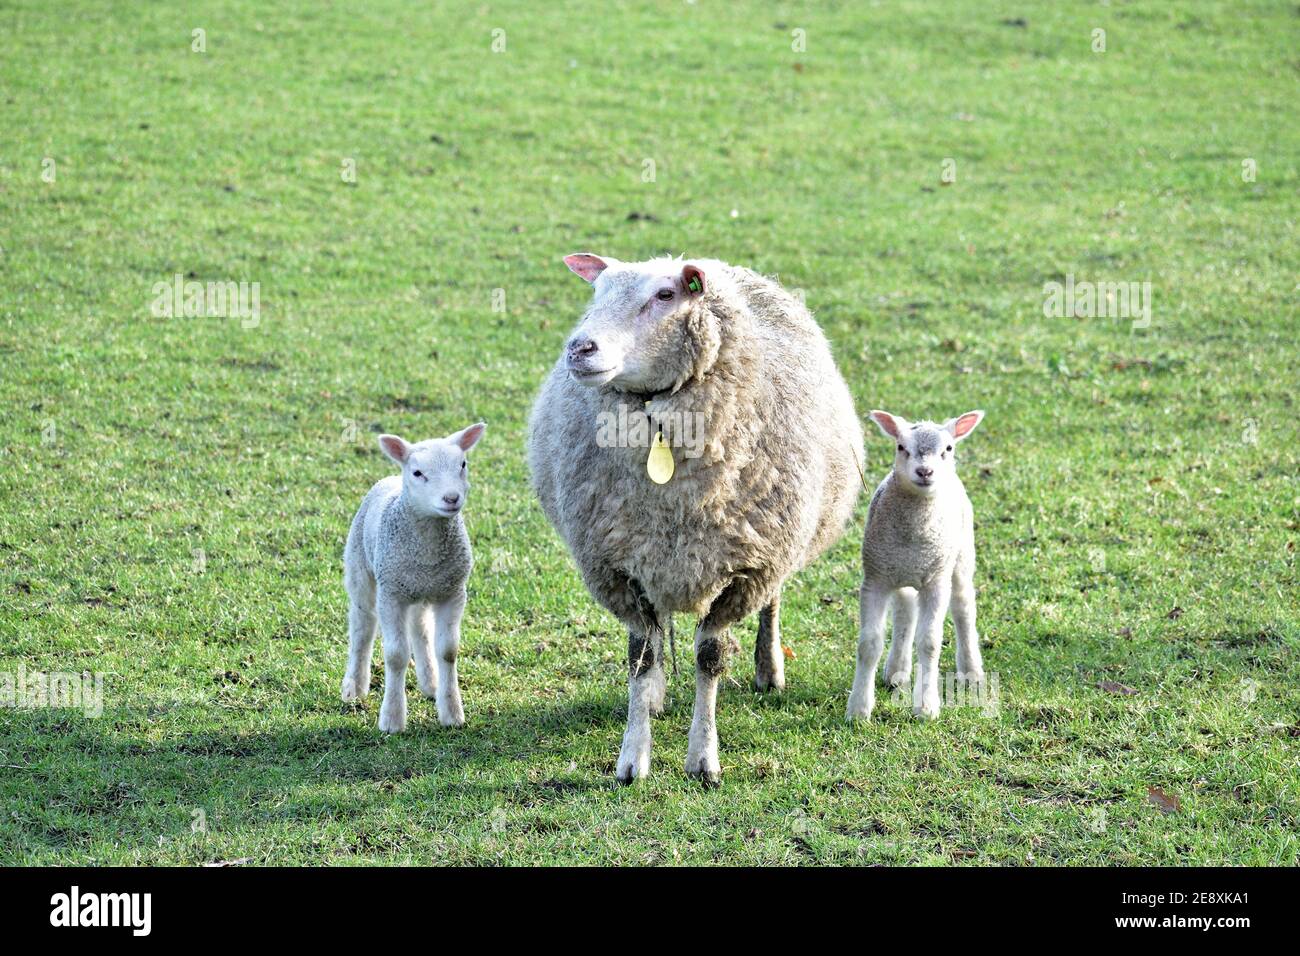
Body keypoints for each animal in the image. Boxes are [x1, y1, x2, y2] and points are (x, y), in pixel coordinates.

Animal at [341, 423, 486, 733]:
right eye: (418, 473)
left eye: (462, 464)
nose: (451, 498)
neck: (428, 551)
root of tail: (390, 478)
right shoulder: (391, 594)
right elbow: (395, 655)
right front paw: (392, 719)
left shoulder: (453, 592)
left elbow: (448, 650)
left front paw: (451, 712)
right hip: (361, 570)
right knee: (362, 627)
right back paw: (354, 687)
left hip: (420, 591)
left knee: (420, 629)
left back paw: (430, 683)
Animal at [528, 253, 863, 784]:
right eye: (596, 292)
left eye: (666, 295)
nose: (580, 349)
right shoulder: (620, 566)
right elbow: (640, 658)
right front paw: (633, 757)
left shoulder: (746, 569)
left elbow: (710, 659)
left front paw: (703, 758)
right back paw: (658, 695)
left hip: (777, 541)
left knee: (773, 603)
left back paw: (769, 668)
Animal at [846, 409, 985, 722]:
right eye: (901, 447)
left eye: (948, 449)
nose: (925, 472)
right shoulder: (875, 578)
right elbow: (868, 644)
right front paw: (859, 708)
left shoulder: (935, 581)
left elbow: (930, 642)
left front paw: (927, 706)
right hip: (900, 572)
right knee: (905, 611)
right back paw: (897, 670)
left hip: (959, 558)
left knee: (963, 608)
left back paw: (971, 671)